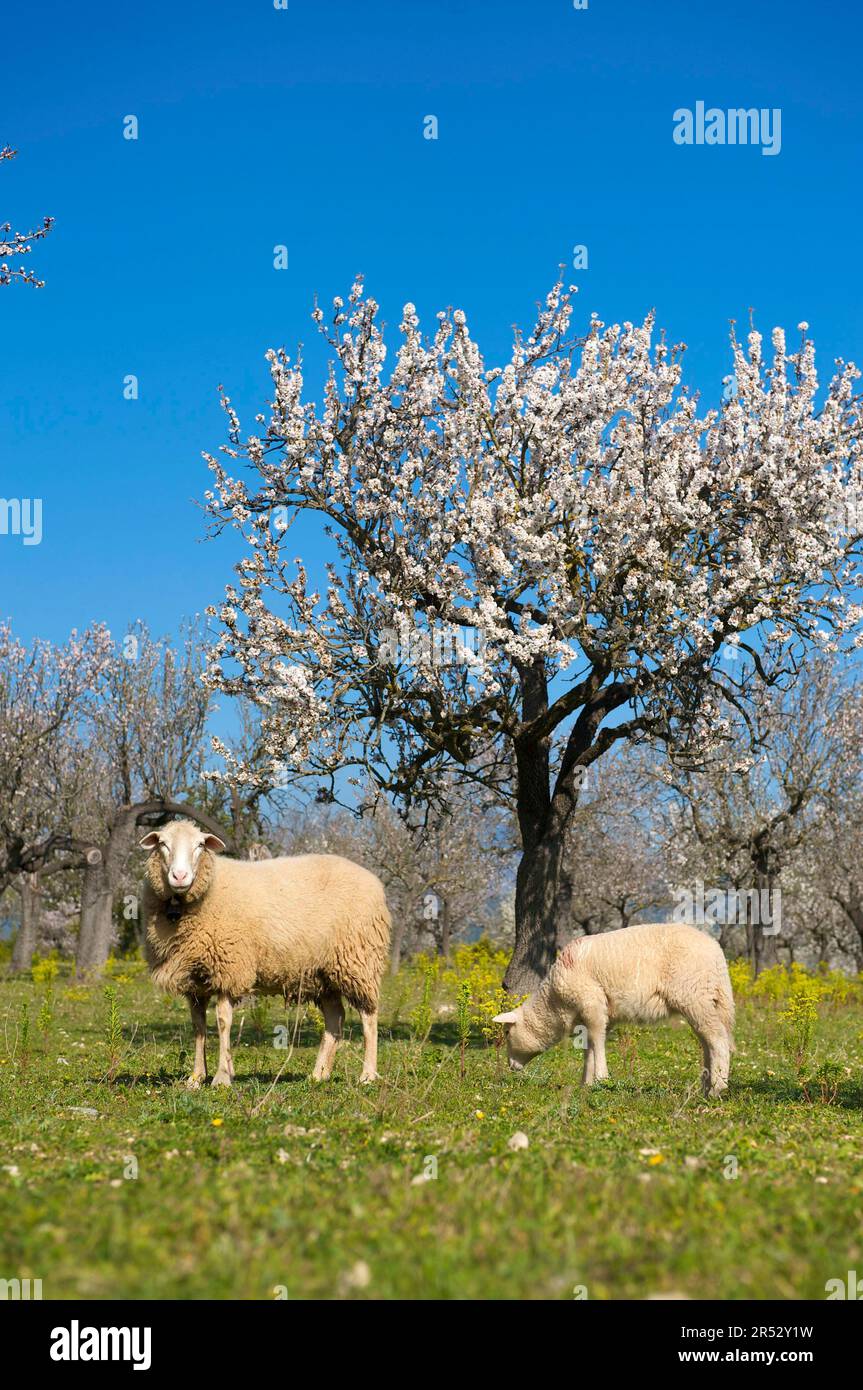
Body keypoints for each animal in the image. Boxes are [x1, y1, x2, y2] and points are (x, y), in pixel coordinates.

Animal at [140, 819, 391, 1088]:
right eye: (163, 844)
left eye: (199, 845)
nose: (179, 876)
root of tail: (374, 881)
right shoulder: (195, 980)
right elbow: (198, 1026)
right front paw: (196, 1077)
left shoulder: (230, 968)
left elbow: (223, 1021)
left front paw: (222, 1076)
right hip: (323, 973)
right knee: (336, 1019)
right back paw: (318, 1074)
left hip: (359, 960)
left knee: (369, 1017)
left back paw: (368, 1074)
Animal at [494, 921, 735, 1097]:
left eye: (507, 1032)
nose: (511, 1066)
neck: (554, 1001)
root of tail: (716, 952)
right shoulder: (598, 1013)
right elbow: (590, 1046)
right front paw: (586, 1083)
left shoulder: (591, 1001)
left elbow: (596, 1040)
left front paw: (601, 1079)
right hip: (707, 1000)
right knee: (708, 1041)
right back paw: (706, 1085)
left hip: (694, 996)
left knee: (717, 1040)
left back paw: (717, 1088)